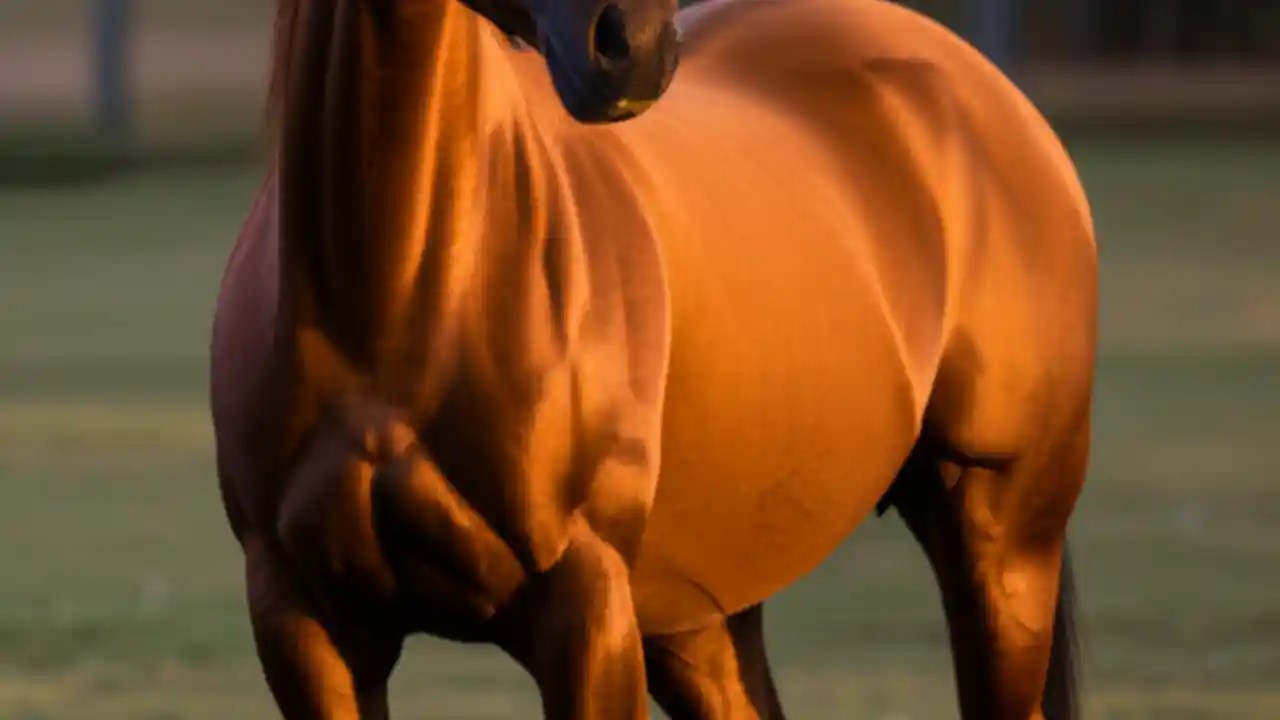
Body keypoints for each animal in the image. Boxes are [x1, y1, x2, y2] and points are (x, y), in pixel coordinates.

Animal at [211, 0, 1097, 717]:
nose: (633, 45)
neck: (407, 285)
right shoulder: (307, 625)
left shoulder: (587, 615)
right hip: (701, 616)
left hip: (1001, 547)